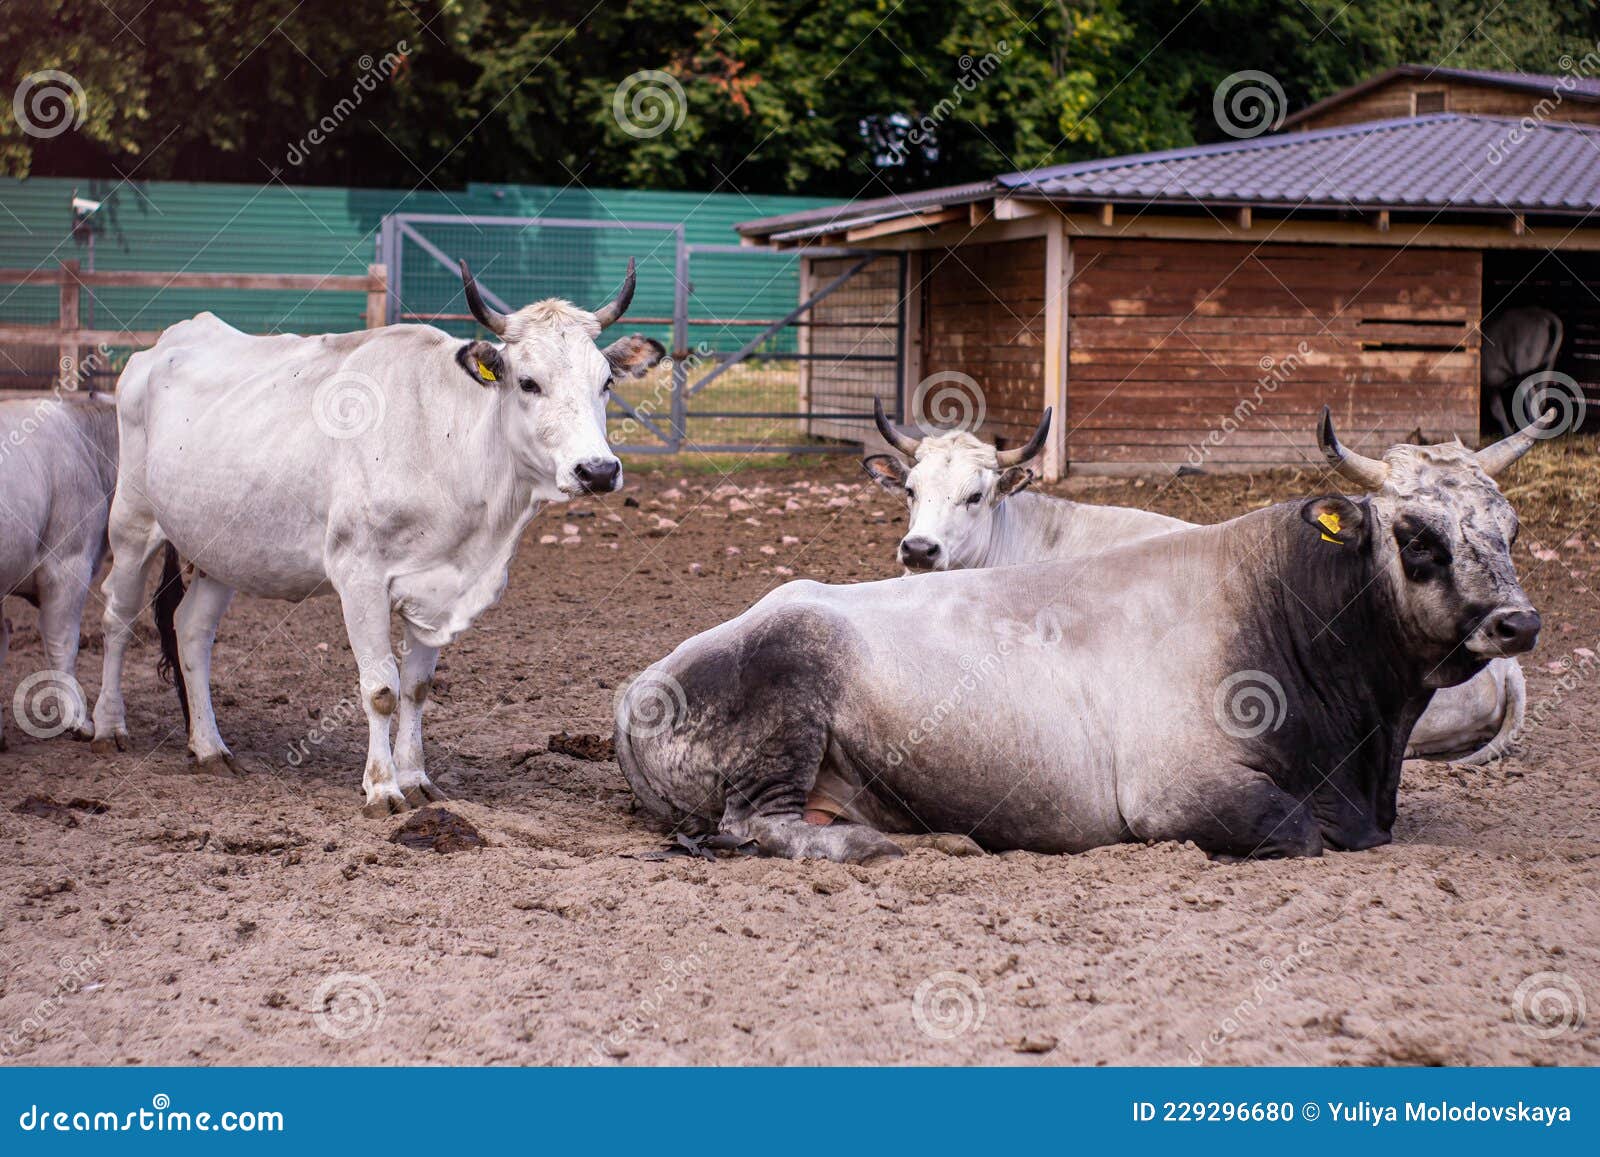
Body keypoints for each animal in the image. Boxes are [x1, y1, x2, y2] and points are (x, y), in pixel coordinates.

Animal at [92, 261, 664, 815]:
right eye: (527, 382)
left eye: (606, 382)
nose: (597, 470)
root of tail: (171, 339)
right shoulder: (359, 577)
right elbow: (382, 688)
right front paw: (382, 787)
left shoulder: (438, 588)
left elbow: (416, 687)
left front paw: (416, 779)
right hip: (133, 522)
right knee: (118, 618)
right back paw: (107, 726)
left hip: (221, 550)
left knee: (191, 630)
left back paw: (209, 747)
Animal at [1482, 306, 1563, 435]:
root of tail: (1544, 314)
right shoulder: (1491, 385)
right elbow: (1497, 409)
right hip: (1547, 368)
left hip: (1524, 372)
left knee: (1533, 405)